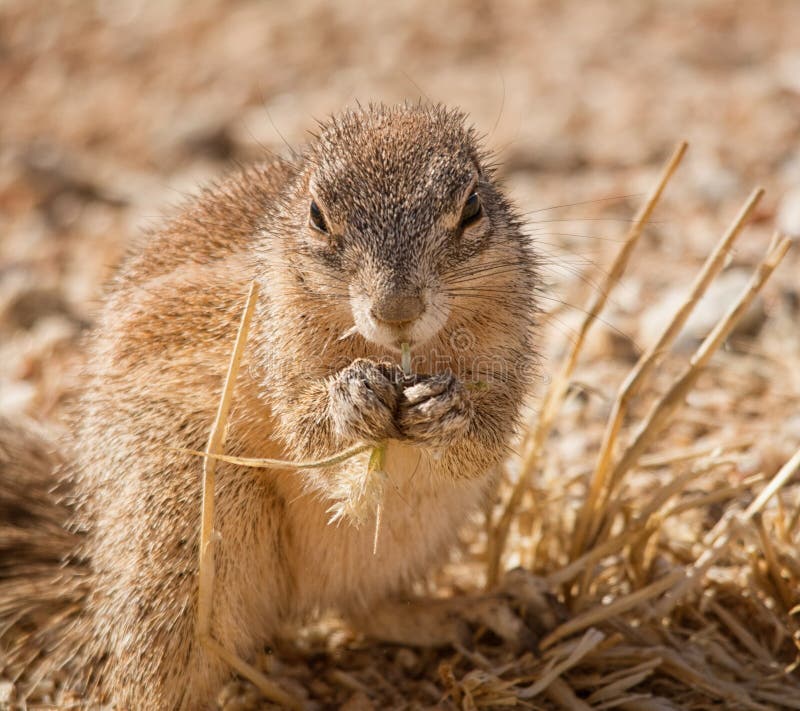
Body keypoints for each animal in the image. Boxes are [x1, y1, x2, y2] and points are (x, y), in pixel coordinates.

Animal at [0, 103, 539, 709]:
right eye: (317, 215)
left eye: (472, 207)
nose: (396, 310)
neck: (399, 354)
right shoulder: (271, 344)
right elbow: (306, 433)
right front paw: (350, 400)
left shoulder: (508, 353)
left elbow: (486, 437)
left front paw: (448, 412)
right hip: (183, 522)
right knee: (153, 671)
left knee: (366, 609)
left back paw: (474, 610)